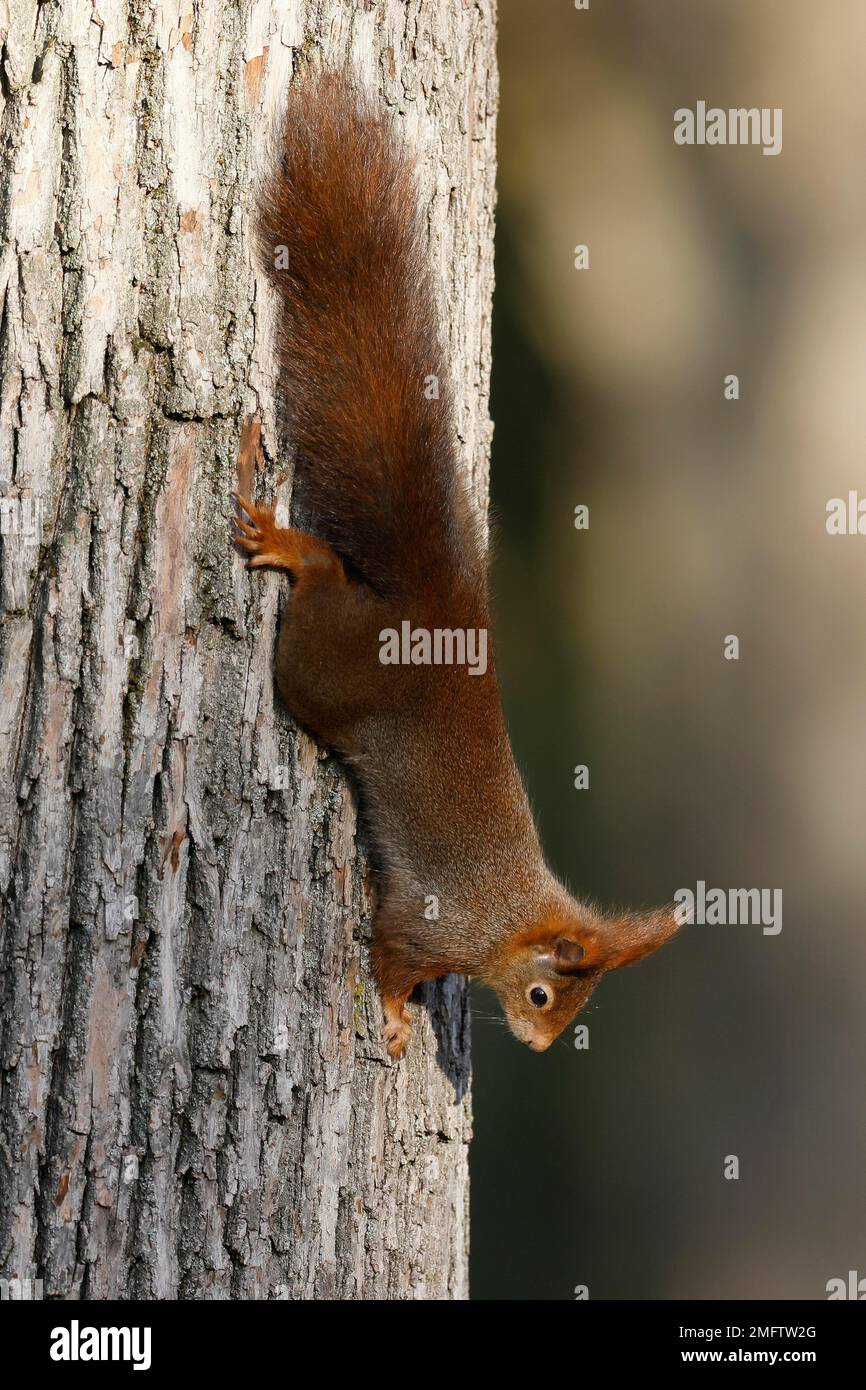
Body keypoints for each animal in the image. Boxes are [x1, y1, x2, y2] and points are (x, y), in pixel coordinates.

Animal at [233, 71, 682, 1059]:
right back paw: (286, 547)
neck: (509, 919)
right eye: (548, 994)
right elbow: (392, 956)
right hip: (326, 674)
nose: (541, 1048)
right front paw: (399, 1019)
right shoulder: (431, 922)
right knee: (319, 596)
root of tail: (439, 605)